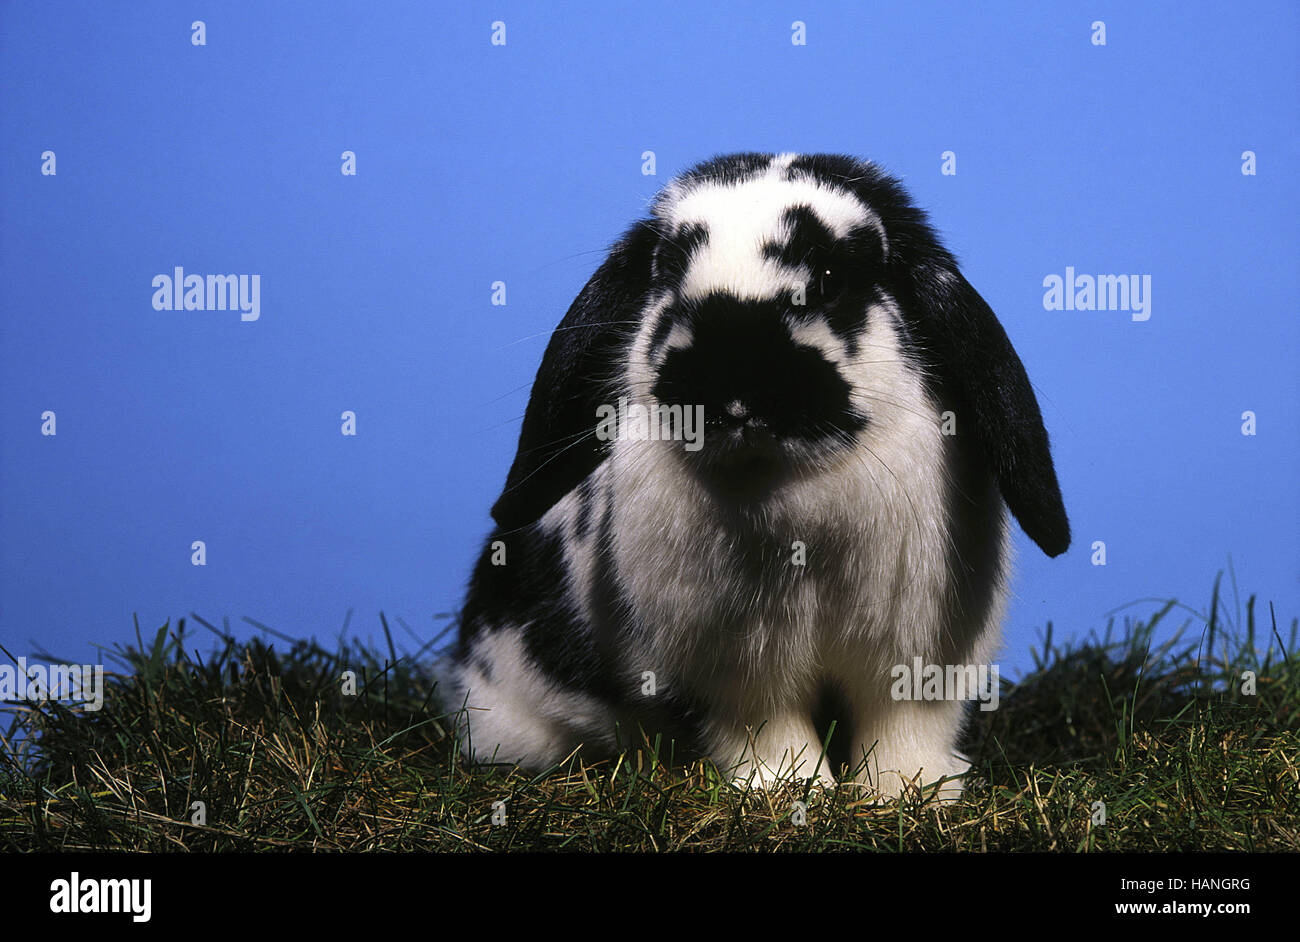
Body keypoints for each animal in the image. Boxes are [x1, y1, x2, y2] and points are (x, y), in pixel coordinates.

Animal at [441, 152, 1069, 800]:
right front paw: (795, 792)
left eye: (828, 277)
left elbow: (902, 722)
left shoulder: (919, 653)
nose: (733, 384)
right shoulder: (739, 668)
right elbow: (768, 725)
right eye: (668, 274)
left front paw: (905, 793)